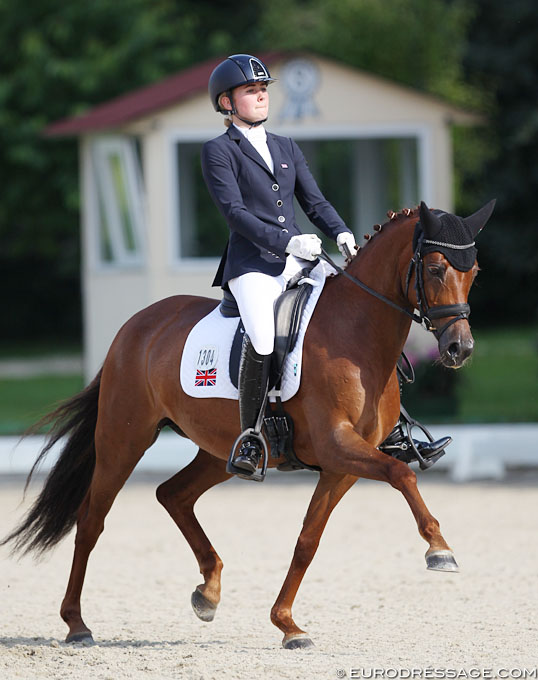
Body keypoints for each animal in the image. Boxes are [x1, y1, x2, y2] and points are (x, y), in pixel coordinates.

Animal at [2, 200, 495, 649]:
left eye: (474, 272)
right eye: (435, 269)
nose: (460, 349)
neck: (357, 336)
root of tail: (134, 326)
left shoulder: (343, 465)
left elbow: (308, 540)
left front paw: (288, 625)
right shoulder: (337, 445)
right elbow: (401, 473)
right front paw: (439, 550)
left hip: (220, 450)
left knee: (173, 494)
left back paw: (208, 592)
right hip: (124, 438)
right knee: (91, 520)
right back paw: (77, 624)